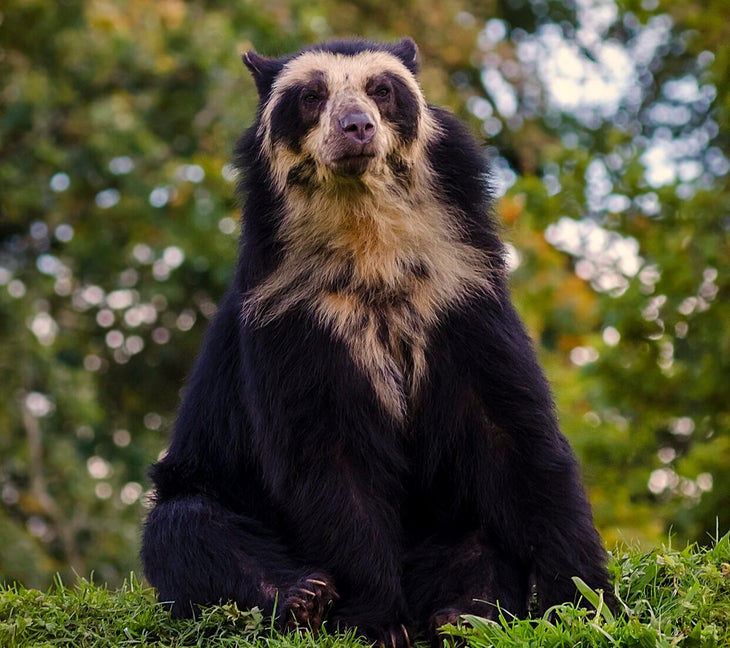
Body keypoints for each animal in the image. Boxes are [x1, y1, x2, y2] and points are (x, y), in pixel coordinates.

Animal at [141, 37, 612, 647]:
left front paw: (584, 602)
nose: (357, 128)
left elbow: (514, 433)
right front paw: (379, 625)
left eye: (381, 90)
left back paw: (463, 615)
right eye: (311, 97)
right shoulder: (294, 317)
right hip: (201, 486)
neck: (368, 239)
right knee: (186, 530)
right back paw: (304, 597)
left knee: (479, 539)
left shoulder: (463, 297)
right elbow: (328, 460)